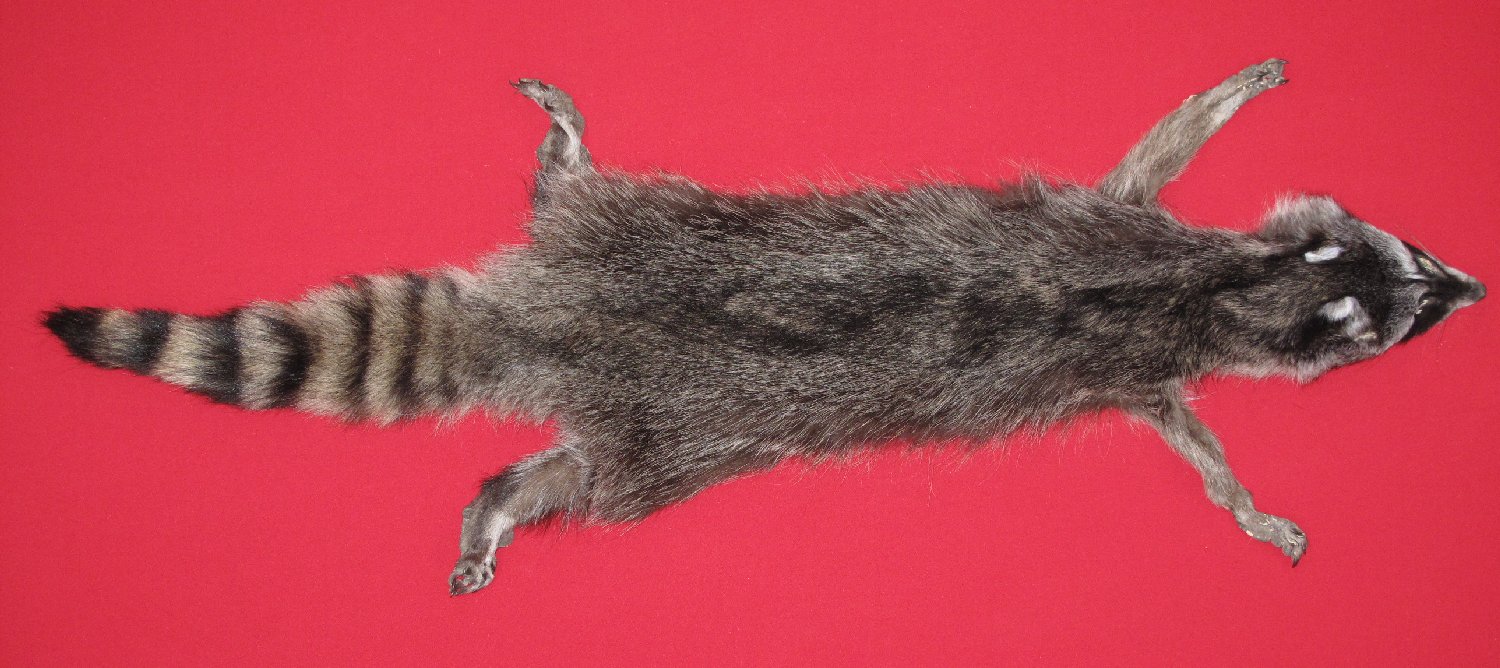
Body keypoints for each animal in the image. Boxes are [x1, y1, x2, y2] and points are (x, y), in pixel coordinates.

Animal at [43, 60, 1485, 596]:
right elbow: (1202, 442)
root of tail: (555, 314)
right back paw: (502, 501)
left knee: (581, 209)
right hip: (658, 446)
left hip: (640, 223)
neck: (1229, 287)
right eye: (1416, 296)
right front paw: (1253, 509)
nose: (1472, 289)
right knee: (569, 480)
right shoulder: (1144, 320)